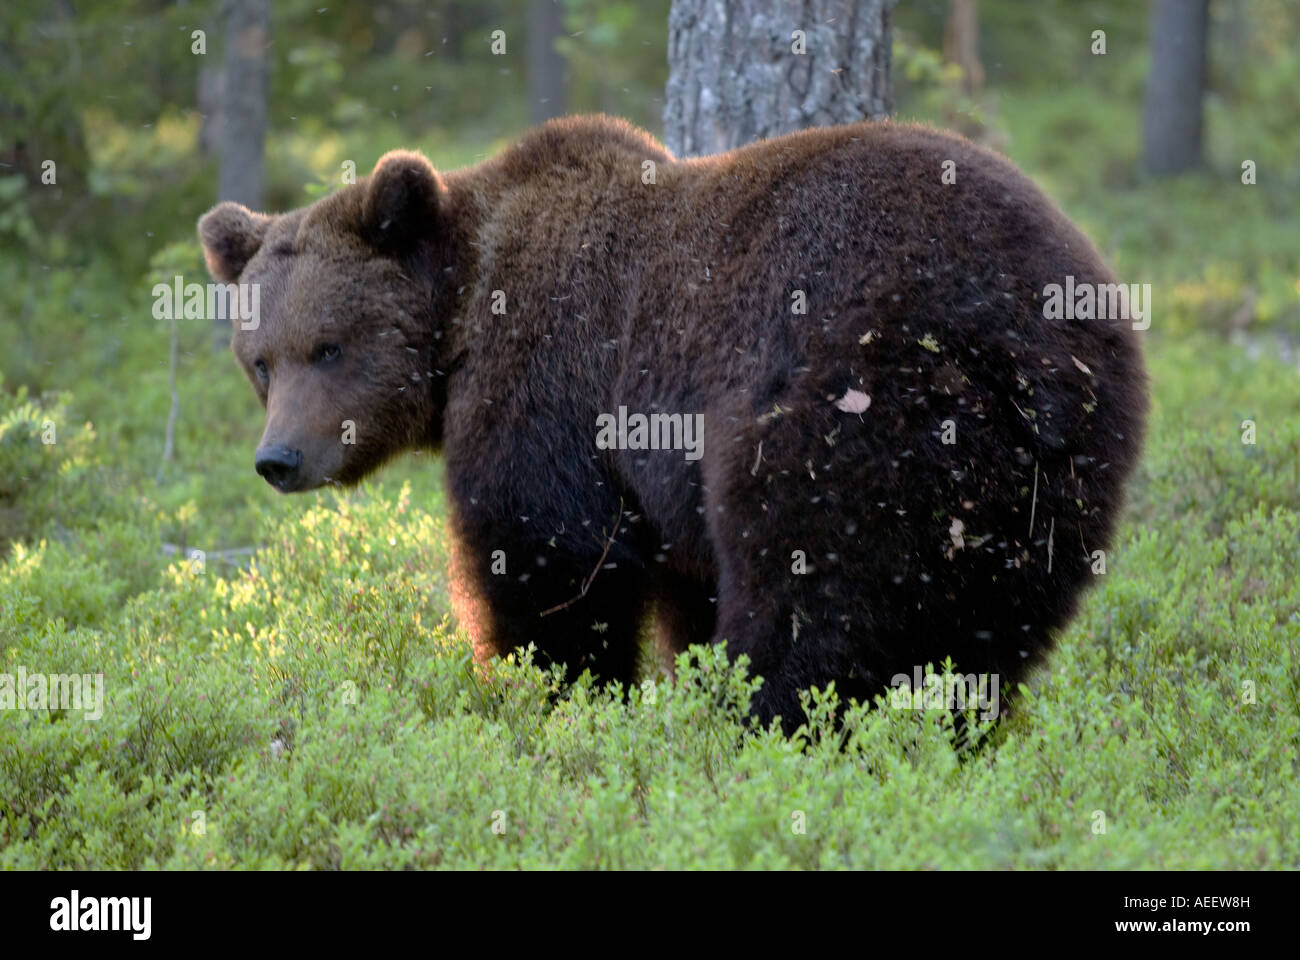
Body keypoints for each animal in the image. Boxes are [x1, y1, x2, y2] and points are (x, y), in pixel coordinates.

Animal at [198, 114, 1147, 734]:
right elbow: (685, 584)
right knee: (983, 623)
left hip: (856, 400)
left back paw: (771, 728)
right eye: (260, 359)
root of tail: (1024, 326)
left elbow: (549, 555)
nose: (279, 459)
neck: (464, 309)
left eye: (328, 346)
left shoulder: (557, 383)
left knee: (816, 596)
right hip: (1051, 473)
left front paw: (557, 696)